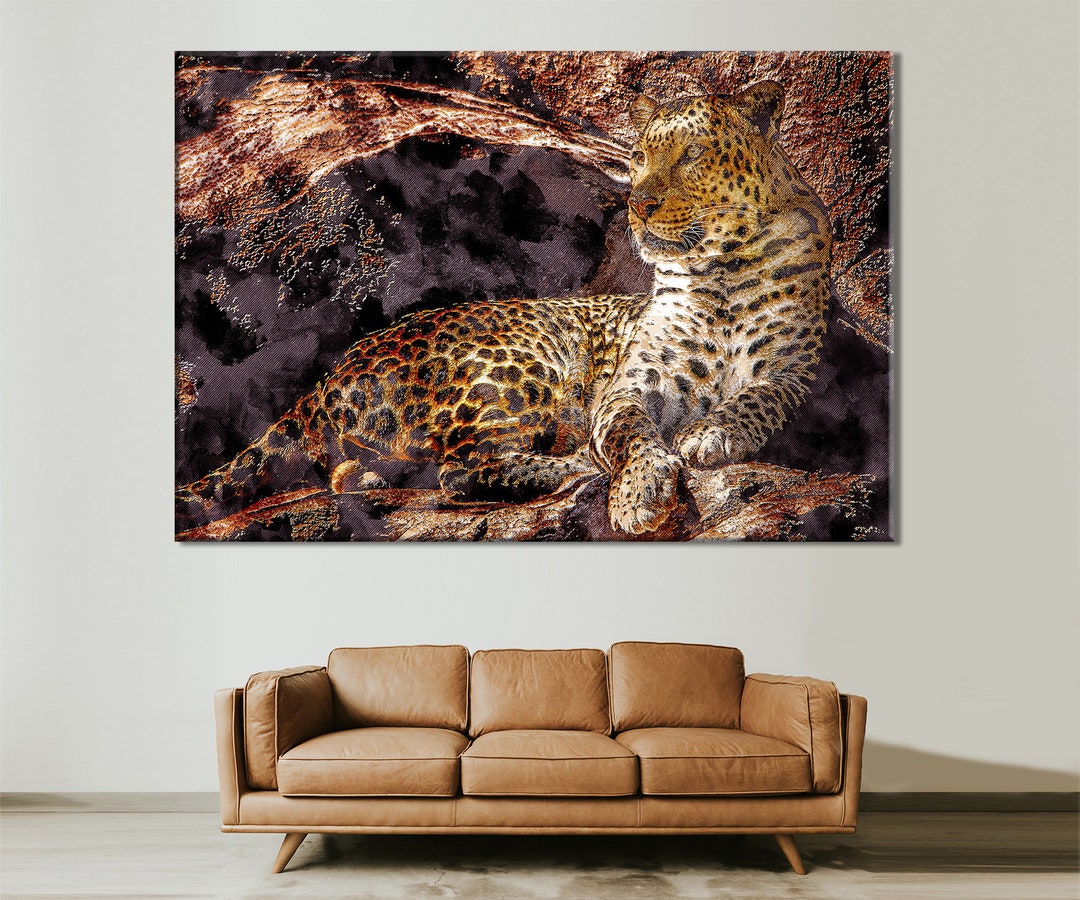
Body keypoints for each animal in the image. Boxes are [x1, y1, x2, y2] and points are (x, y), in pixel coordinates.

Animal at [176, 80, 831, 537]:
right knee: (460, 469)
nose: (638, 203)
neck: (719, 274)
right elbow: (630, 434)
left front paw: (712, 434)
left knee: (370, 475)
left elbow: (760, 397)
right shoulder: (630, 385)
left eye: (692, 154)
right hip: (518, 368)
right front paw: (639, 495)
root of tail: (329, 376)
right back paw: (571, 469)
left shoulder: (796, 370)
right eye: (640, 158)